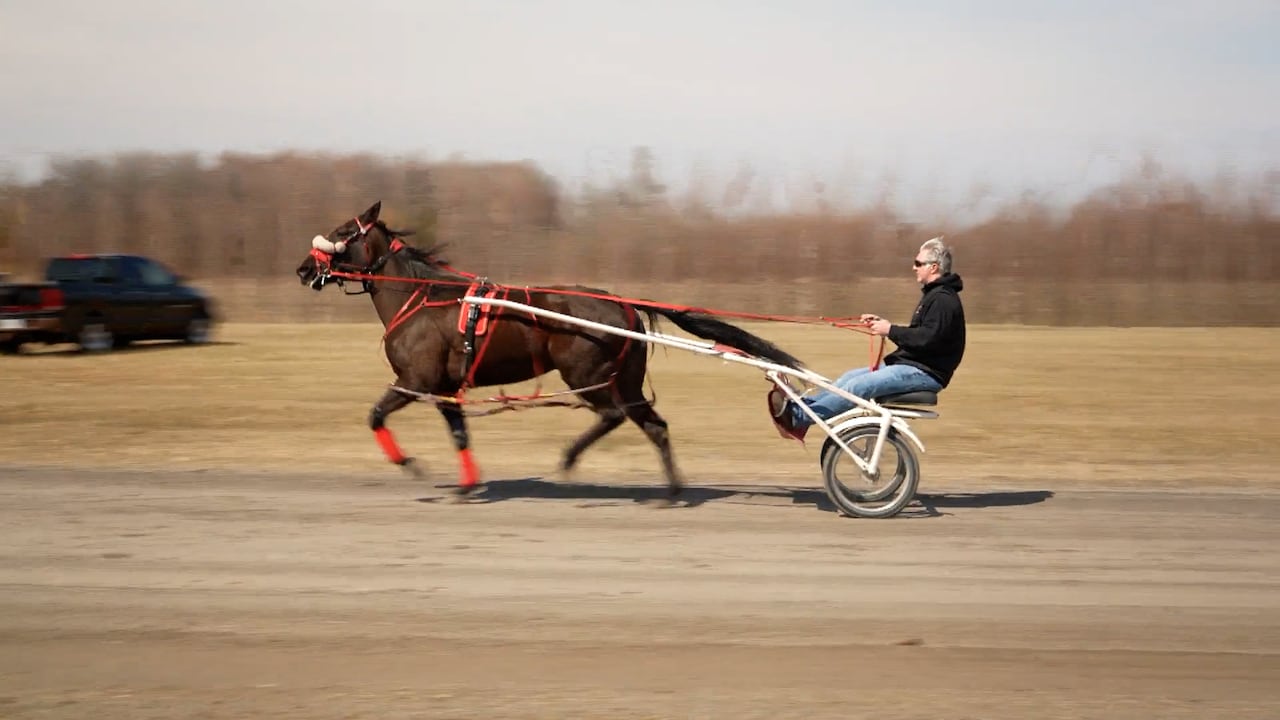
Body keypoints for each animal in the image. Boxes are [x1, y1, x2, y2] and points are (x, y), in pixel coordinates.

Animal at [294, 201, 803, 501]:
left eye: (340, 232)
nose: (303, 269)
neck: (420, 298)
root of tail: (624, 303)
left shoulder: (416, 380)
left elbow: (376, 415)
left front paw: (409, 464)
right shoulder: (444, 387)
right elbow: (460, 435)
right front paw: (466, 485)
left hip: (585, 373)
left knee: (613, 415)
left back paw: (570, 459)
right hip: (625, 378)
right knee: (653, 425)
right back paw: (673, 490)